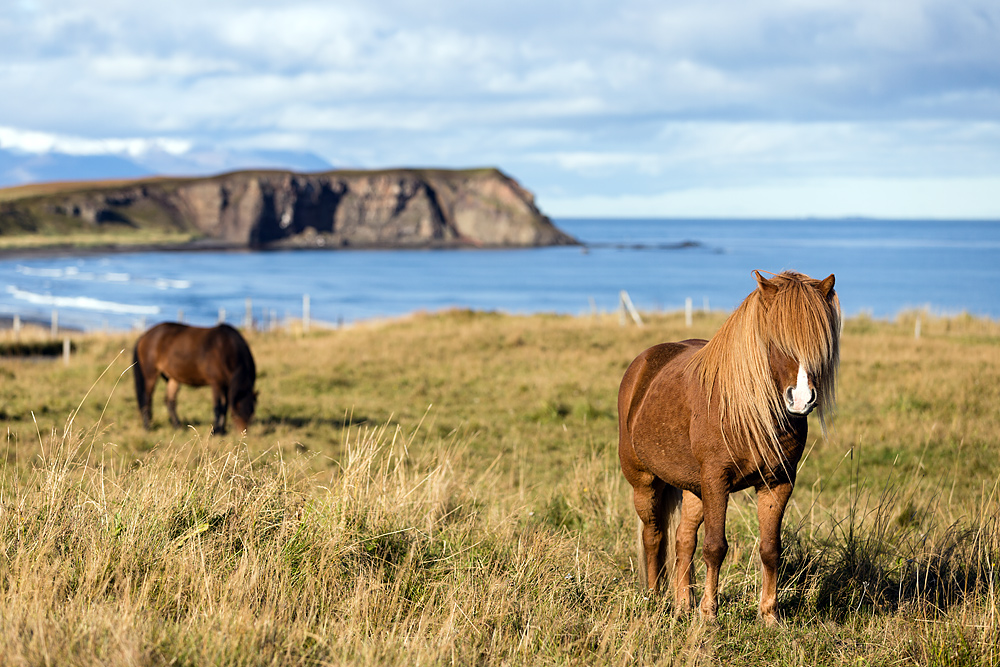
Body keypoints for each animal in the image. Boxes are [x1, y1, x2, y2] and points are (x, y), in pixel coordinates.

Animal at [620, 272, 840, 628]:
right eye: (774, 340)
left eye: (820, 343)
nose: (801, 399)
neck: (746, 409)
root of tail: (642, 364)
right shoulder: (716, 480)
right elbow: (715, 547)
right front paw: (709, 614)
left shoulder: (778, 483)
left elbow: (770, 548)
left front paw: (769, 615)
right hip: (645, 481)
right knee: (653, 535)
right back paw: (653, 598)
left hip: (694, 489)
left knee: (683, 539)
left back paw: (682, 604)